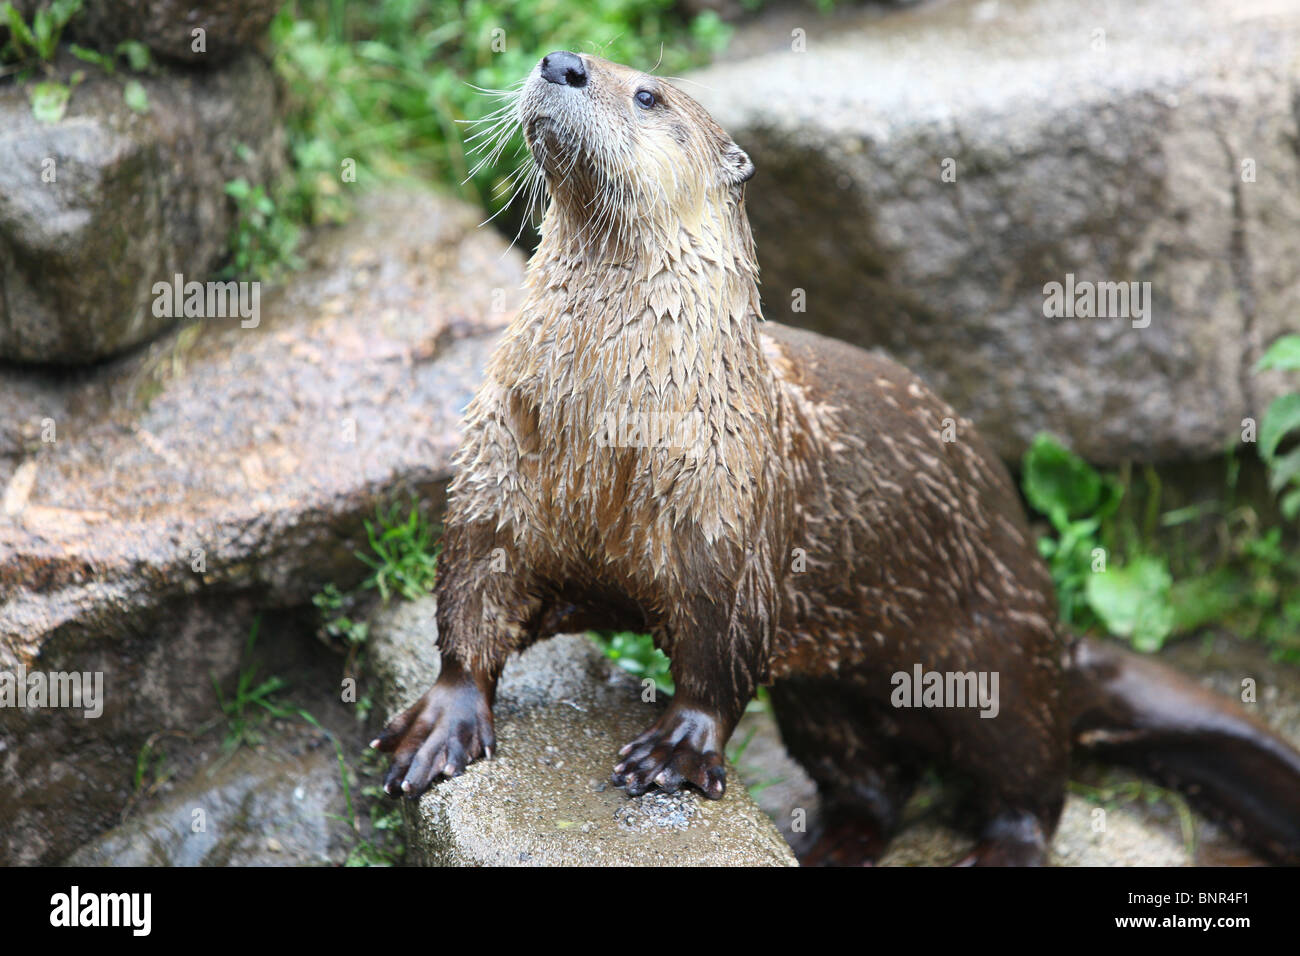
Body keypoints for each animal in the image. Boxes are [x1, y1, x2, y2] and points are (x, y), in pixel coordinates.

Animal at [374, 51, 1300, 865]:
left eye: (646, 94)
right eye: (570, 60)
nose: (559, 63)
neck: (611, 432)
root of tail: (1055, 635)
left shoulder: (732, 521)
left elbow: (718, 657)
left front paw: (677, 750)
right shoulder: (498, 477)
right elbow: (473, 594)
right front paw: (444, 718)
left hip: (995, 666)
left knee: (1032, 784)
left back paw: (996, 848)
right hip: (825, 698)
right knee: (873, 786)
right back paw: (834, 843)